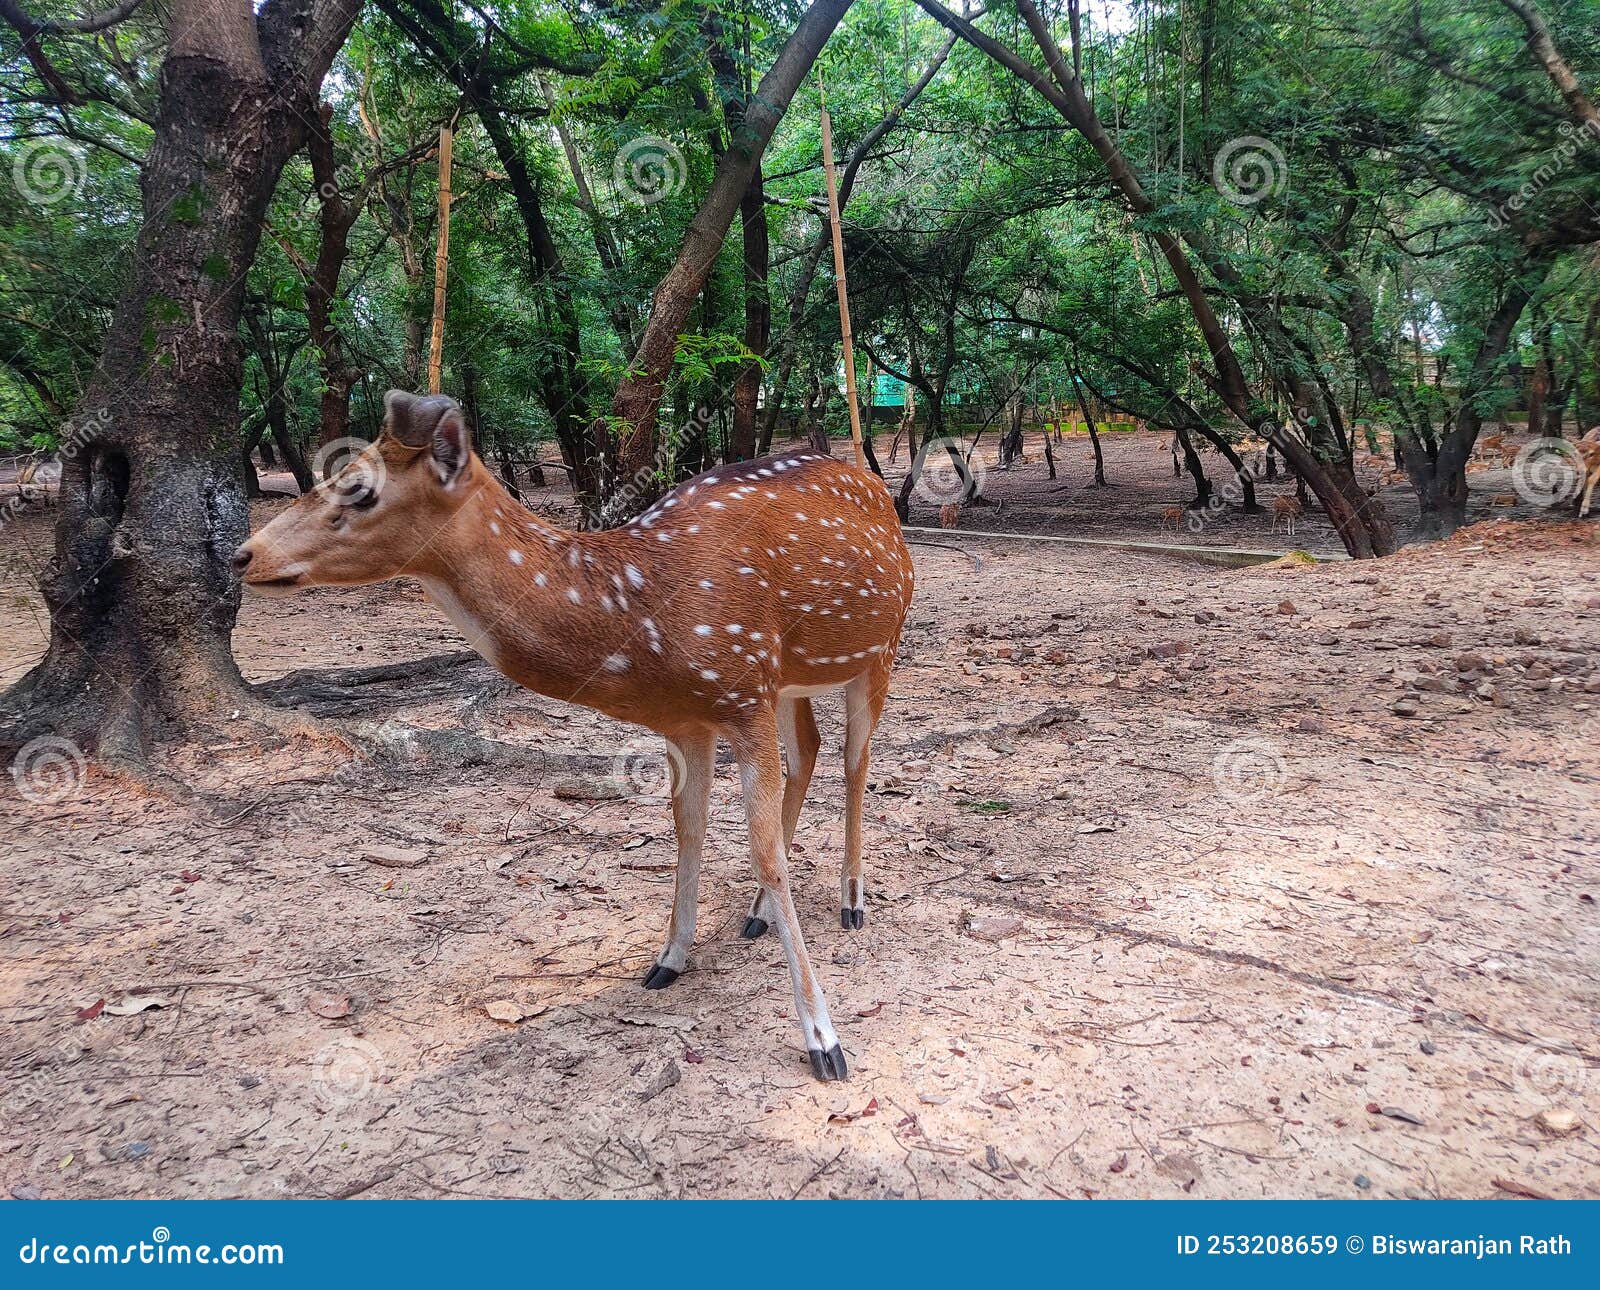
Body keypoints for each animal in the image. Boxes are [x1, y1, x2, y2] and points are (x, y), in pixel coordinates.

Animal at [233, 391, 915, 1082]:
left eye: (360, 488)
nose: (244, 555)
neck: (648, 626)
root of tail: (872, 483)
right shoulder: (690, 717)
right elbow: (688, 832)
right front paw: (668, 959)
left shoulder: (744, 690)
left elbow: (767, 854)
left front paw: (824, 1040)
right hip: (794, 679)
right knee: (811, 750)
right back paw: (754, 915)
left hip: (881, 646)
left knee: (856, 760)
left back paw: (852, 900)